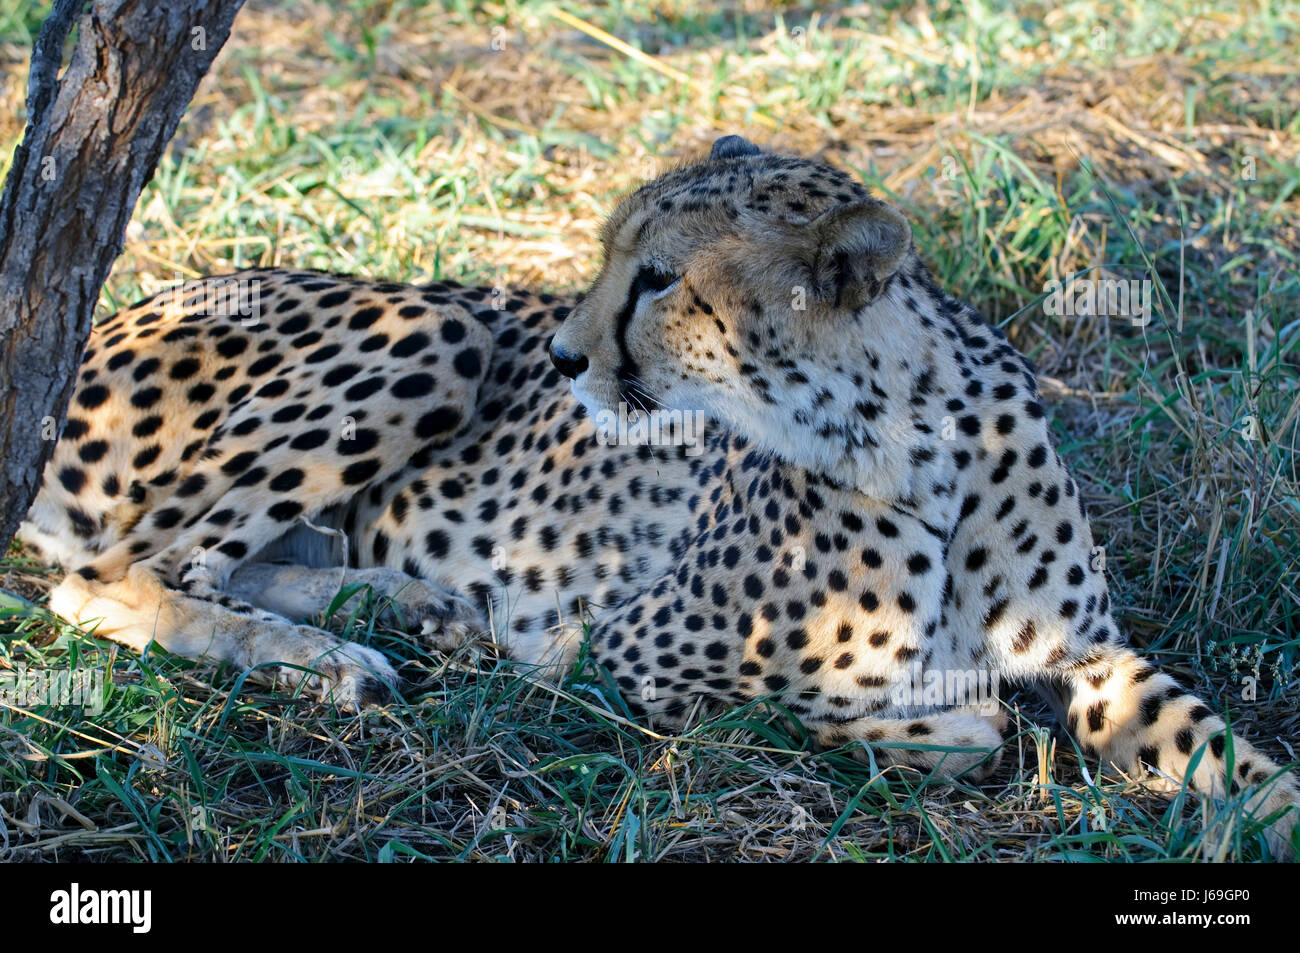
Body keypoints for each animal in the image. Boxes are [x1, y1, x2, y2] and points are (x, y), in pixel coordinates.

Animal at [17, 134, 1299, 855]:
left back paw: (407, 611)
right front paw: (964, 725)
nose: (564, 356)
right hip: (433, 328)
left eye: (660, 278)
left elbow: (1215, 744)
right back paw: (334, 656)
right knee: (109, 576)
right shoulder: (632, 654)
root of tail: (106, 311)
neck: (906, 432)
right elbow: (948, 726)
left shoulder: (1091, 654)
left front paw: (1272, 809)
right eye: (609, 258)